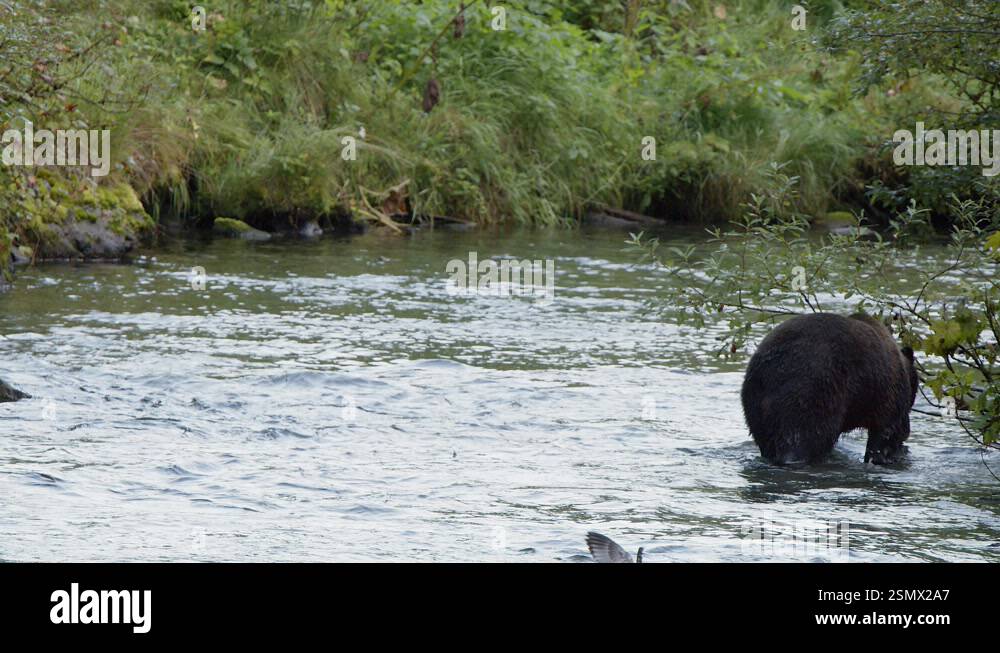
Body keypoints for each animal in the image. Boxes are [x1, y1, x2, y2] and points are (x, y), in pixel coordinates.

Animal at [741, 313, 918, 465]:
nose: (908, 429)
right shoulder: (887, 395)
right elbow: (886, 432)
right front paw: (891, 453)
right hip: (815, 392)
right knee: (808, 435)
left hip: (755, 402)